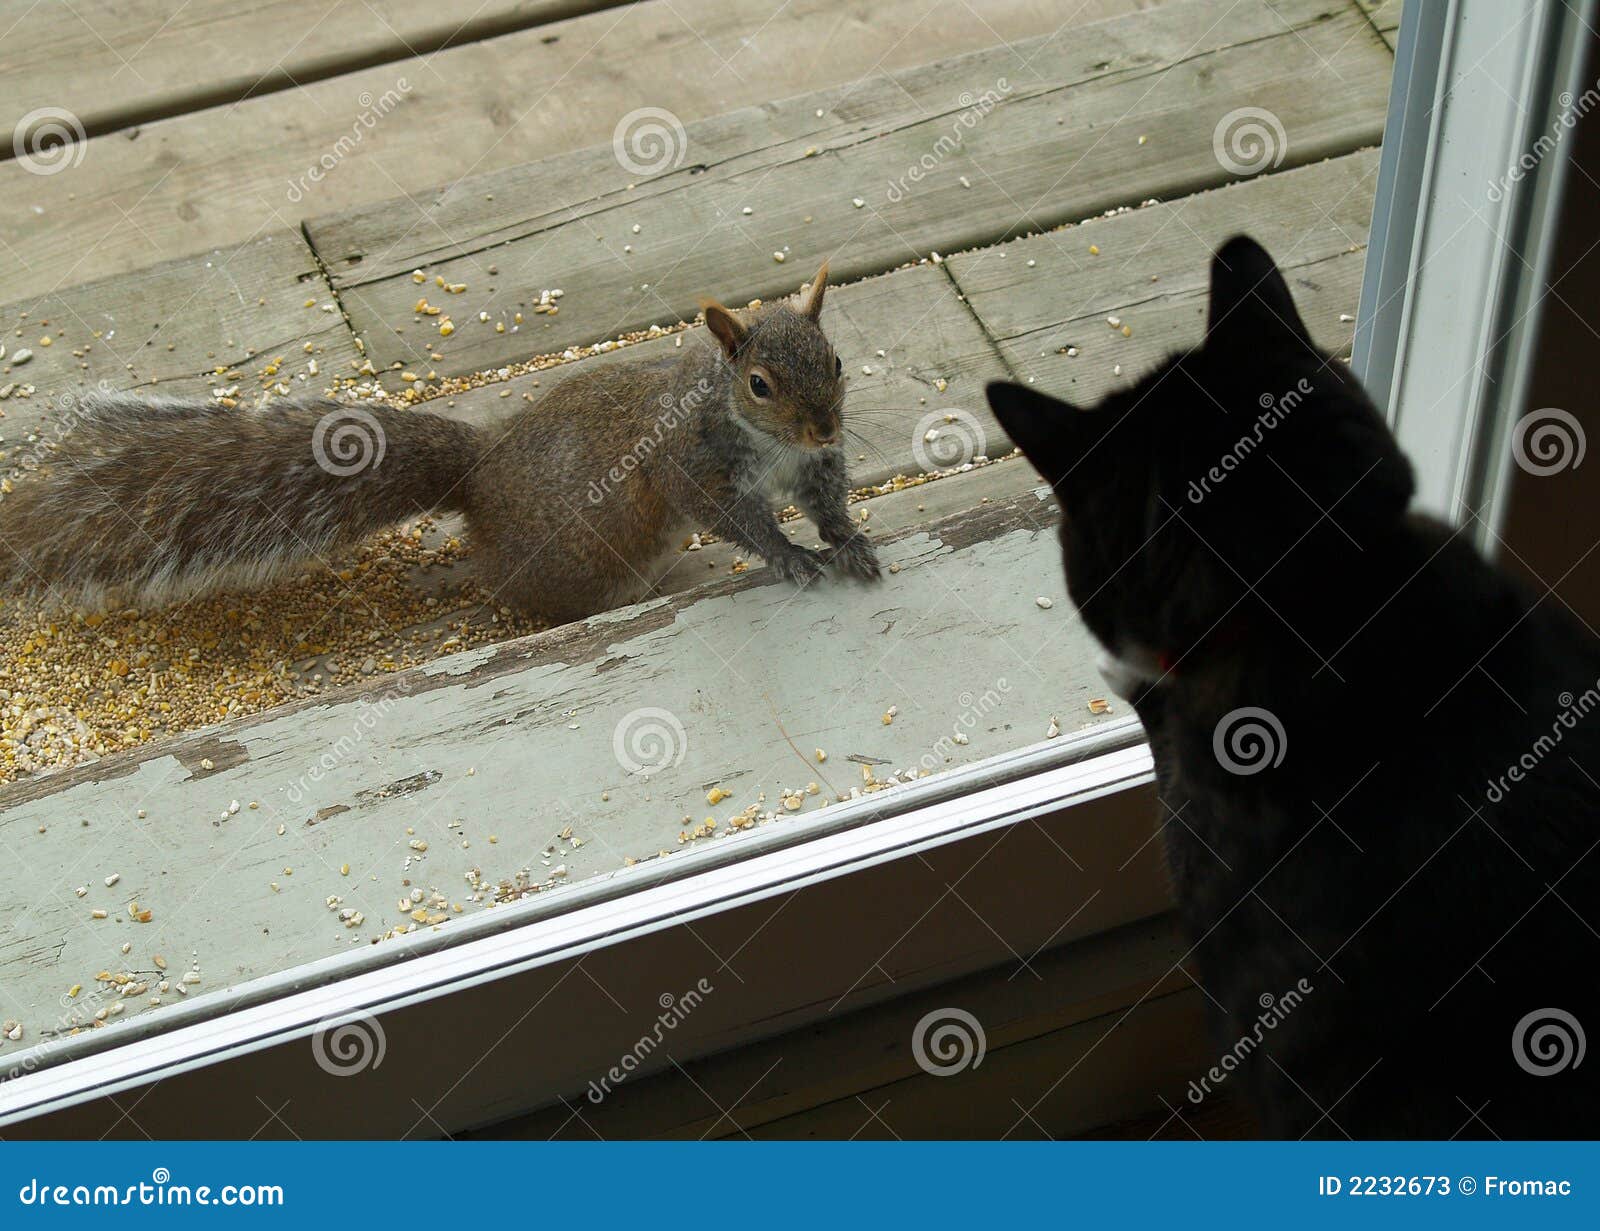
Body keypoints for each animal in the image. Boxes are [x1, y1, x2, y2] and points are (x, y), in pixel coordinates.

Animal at [0, 261, 881, 623]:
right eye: (759, 383)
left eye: (836, 362)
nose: (827, 424)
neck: (768, 440)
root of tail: (479, 477)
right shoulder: (692, 468)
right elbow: (743, 521)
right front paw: (793, 557)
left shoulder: (812, 467)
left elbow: (826, 503)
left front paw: (848, 540)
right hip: (571, 565)